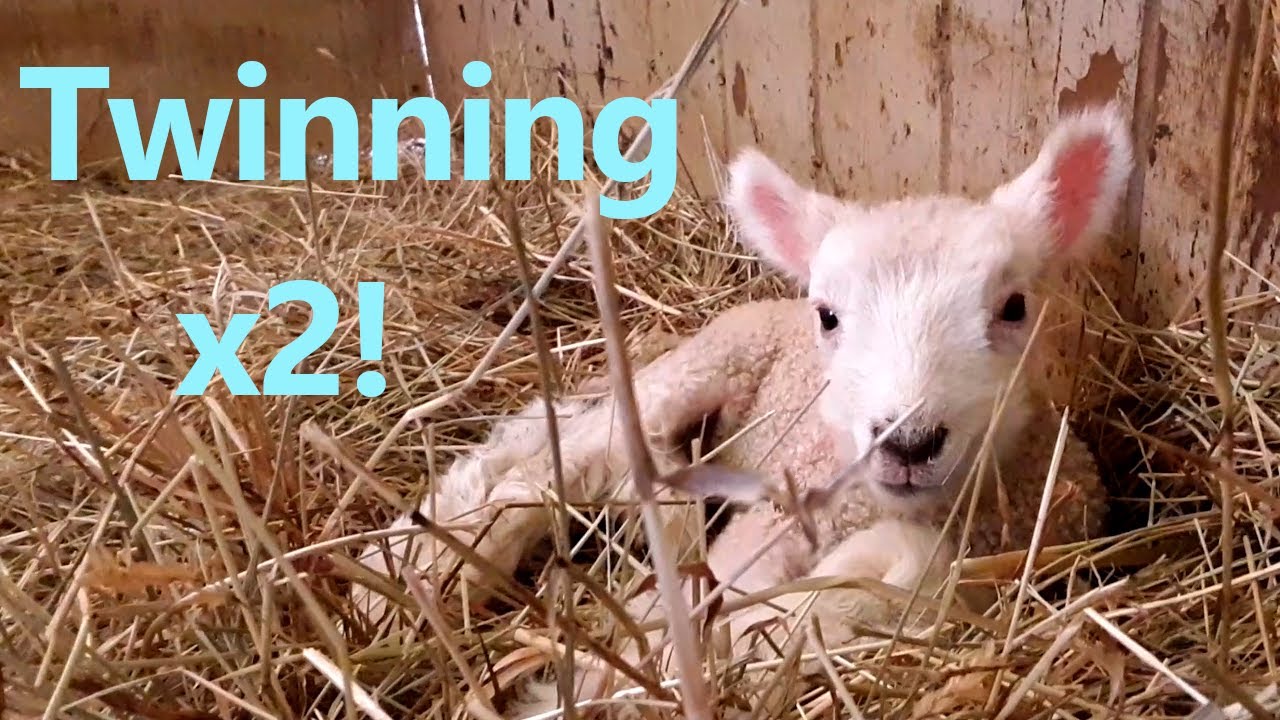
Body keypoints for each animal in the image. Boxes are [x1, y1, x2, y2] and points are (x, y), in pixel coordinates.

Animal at [351, 103, 1133, 715]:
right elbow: (711, 609)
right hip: (693, 374)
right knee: (539, 469)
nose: (907, 441)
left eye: (1013, 307)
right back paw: (410, 574)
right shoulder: (771, 524)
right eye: (829, 315)